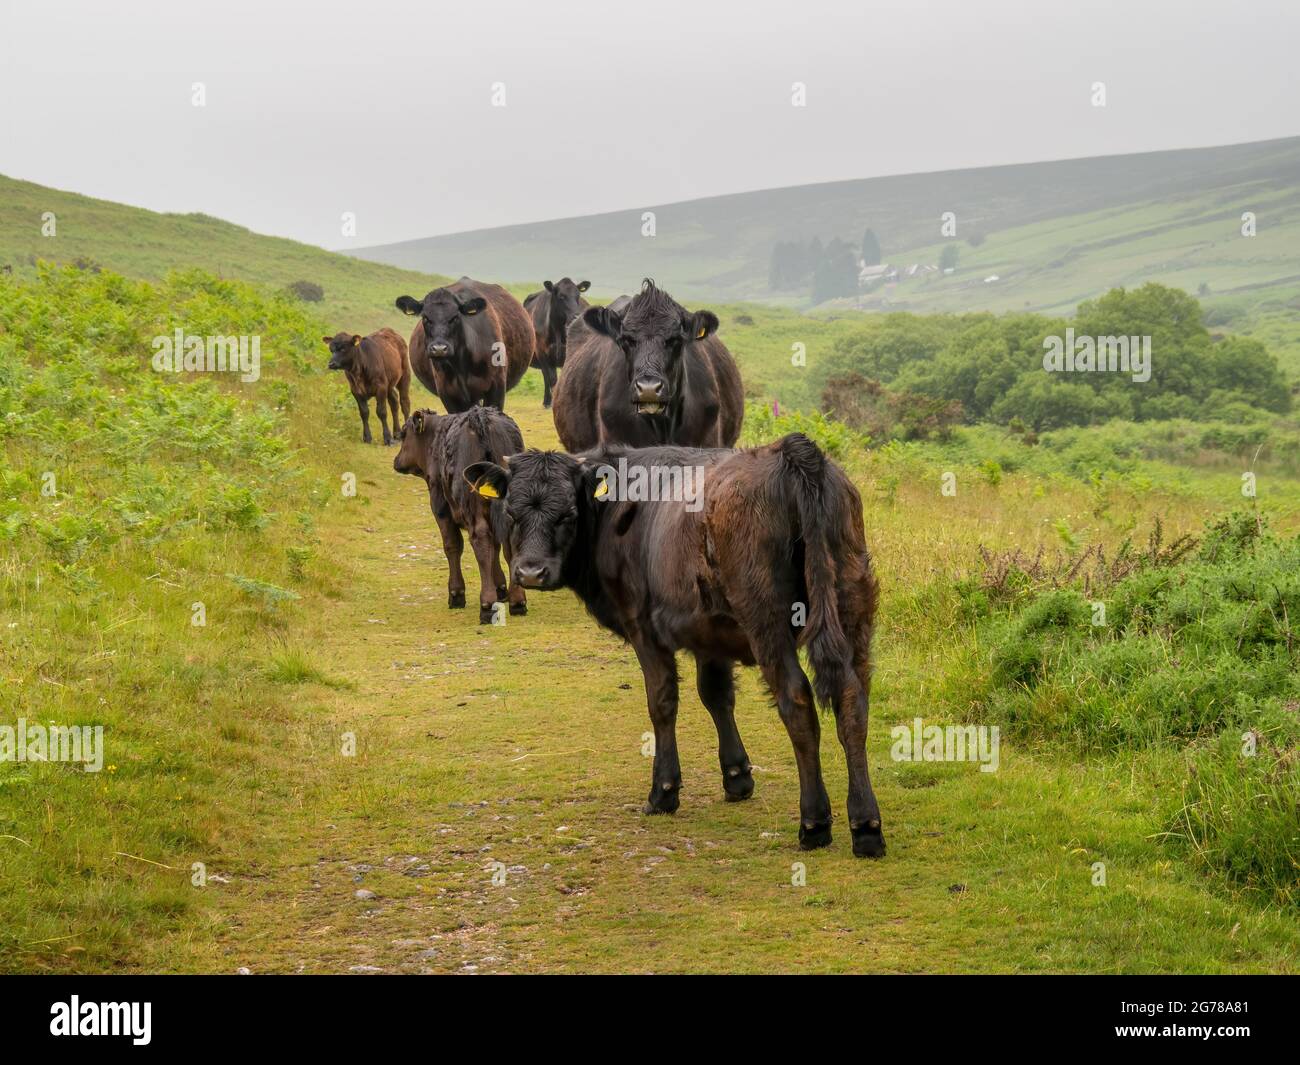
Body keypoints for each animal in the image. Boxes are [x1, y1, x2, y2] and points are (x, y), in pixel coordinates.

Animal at [393, 407, 526, 624]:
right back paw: (517, 600)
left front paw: (456, 594)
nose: (396, 461)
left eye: (404, 433)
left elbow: (452, 545)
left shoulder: (440, 507)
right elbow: (496, 548)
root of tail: (480, 417)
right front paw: (500, 588)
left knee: (480, 540)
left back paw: (487, 605)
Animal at [395, 278, 534, 413]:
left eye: (455, 317)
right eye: (425, 318)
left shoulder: (497, 388)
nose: (439, 349)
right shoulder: (447, 393)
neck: (461, 366)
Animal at [463, 434, 885, 857]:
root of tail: (790, 452)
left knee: (797, 702)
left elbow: (662, 703)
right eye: (512, 512)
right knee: (853, 700)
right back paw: (865, 824)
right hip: (852, 605)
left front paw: (663, 791)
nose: (531, 572)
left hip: (766, 618)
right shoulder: (710, 632)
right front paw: (737, 776)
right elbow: (716, 695)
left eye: (567, 514)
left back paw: (814, 822)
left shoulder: (644, 628)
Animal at [522, 277, 590, 408]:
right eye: (561, 296)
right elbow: (552, 379)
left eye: (578, 295)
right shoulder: (543, 353)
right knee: (546, 377)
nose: (576, 316)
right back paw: (547, 401)